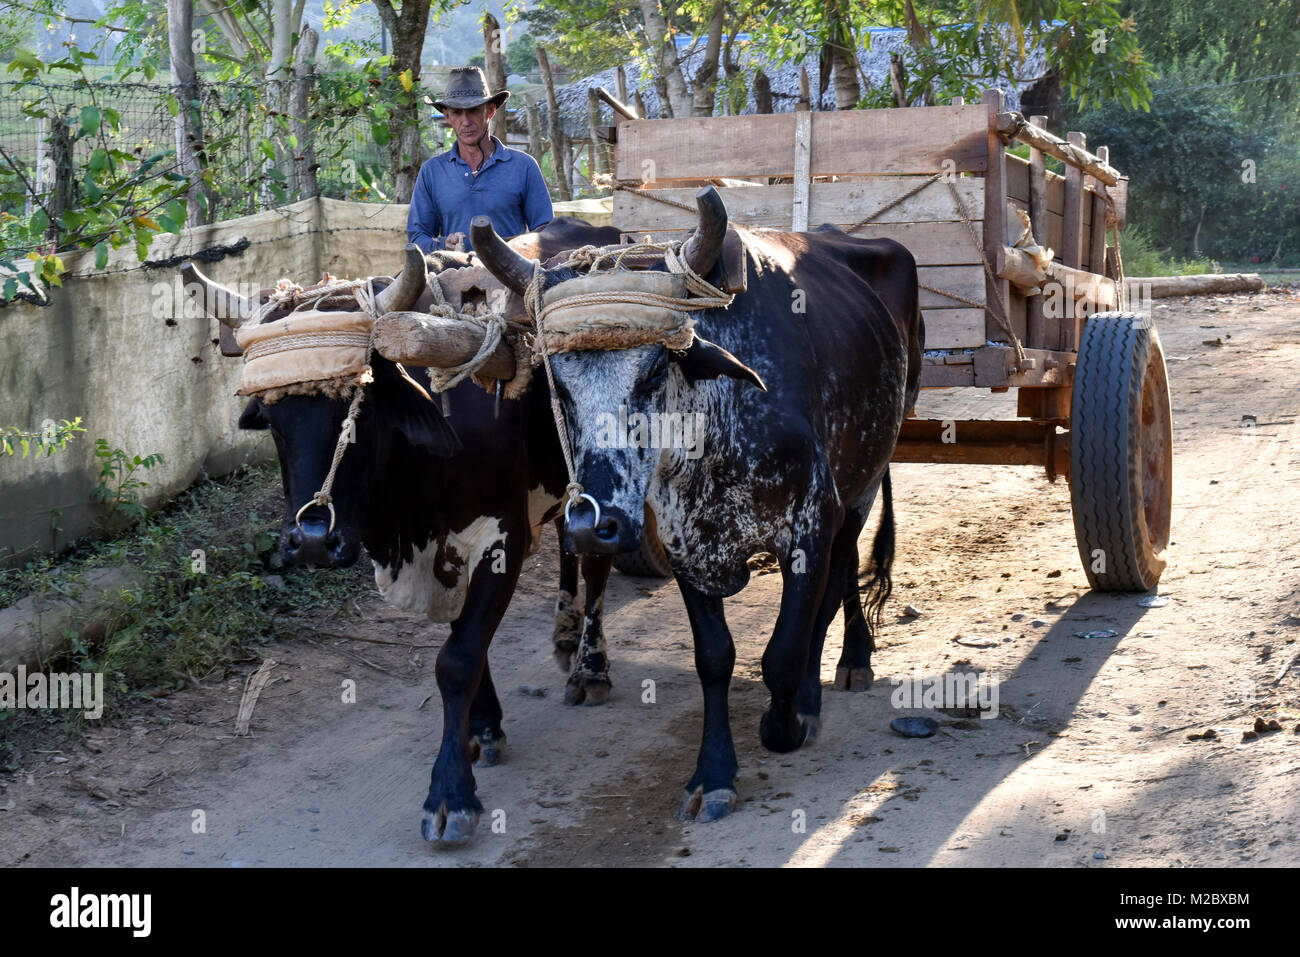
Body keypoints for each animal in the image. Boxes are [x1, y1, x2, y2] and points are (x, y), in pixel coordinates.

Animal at [183, 218, 626, 845]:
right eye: (269, 417)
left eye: (362, 409)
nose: (312, 541)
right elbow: (464, 644)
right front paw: (483, 727)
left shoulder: (503, 539)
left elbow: (458, 658)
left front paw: (451, 794)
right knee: (571, 541)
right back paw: (564, 637)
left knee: (595, 560)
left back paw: (591, 667)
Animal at [469, 188, 923, 821]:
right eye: (558, 383)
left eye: (656, 369)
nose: (591, 525)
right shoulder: (683, 542)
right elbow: (715, 657)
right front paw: (714, 774)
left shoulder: (811, 523)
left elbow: (784, 651)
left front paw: (784, 723)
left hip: (867, 476)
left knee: (840, 579)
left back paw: (843, 669)